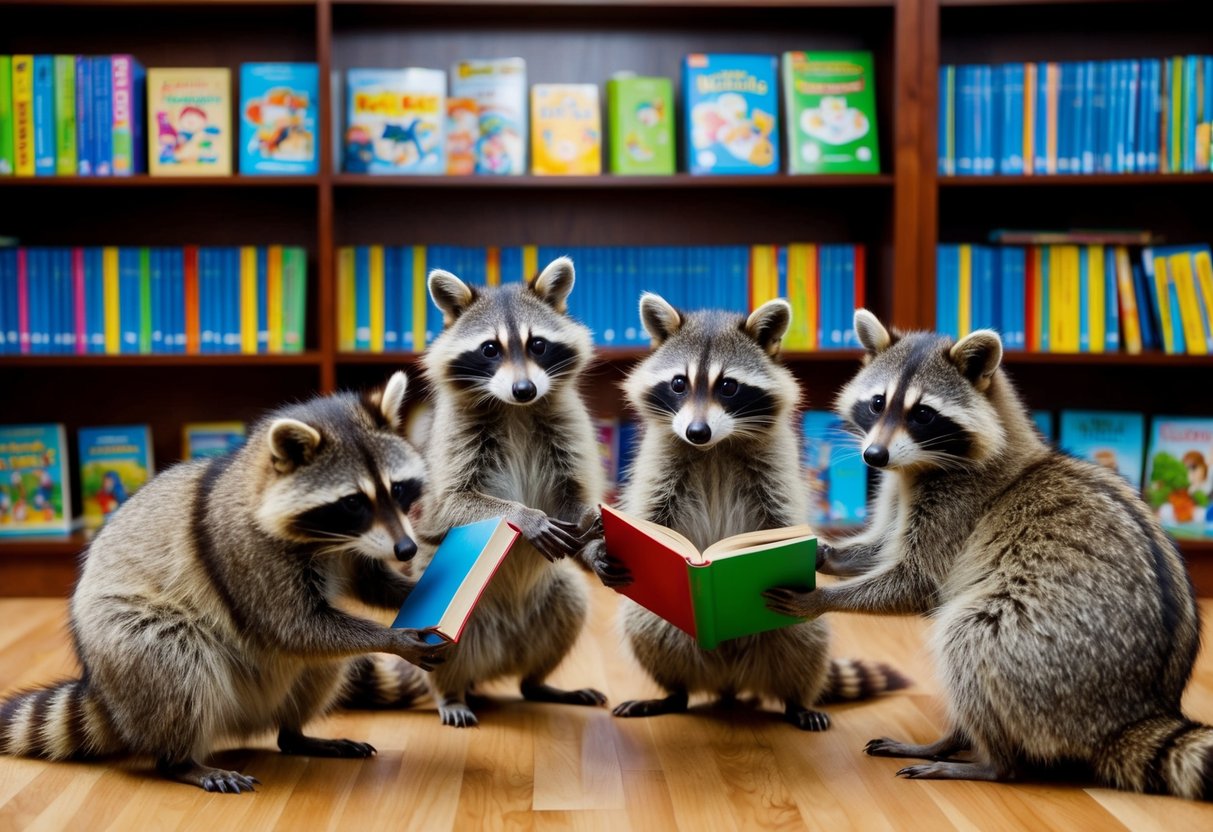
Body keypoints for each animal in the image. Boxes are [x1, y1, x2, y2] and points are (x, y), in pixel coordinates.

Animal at [0, 372, 449, 792]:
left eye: (397, 488)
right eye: (354, 502)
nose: (407, 550)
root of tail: (104, 694)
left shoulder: (354, 546)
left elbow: (365, 584)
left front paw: (415, 588)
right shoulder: (245, 550)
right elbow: (295, 627)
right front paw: (394, 637)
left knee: (320, 668)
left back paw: (296, 733)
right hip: (123, 640)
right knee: (174, 656)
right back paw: (180, 760)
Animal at [418, 256, 606, 728]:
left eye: (537, 345)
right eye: (490, 349)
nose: (525, 389)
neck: (515, 409)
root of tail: (497, 663)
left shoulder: (566, 426)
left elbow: (575, 498)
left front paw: (596, 541)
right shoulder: (454, 437)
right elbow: (452, 504)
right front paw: (523, 515)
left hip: (552, 601)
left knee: (569, 605)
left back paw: (540, 682)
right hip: (447, 618)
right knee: (441, 652)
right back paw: (448, 692)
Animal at [581, 295, 908, 729]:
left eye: (728, 386)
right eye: (679, 383)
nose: (697, 432)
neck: (713, 447)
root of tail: (730, 679)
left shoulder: (774, 470)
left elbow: (783, 522)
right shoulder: (660, 465)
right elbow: (650, 518)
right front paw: (601, 548)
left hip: (788, 630)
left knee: (804, 638)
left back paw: (795, 699)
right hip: (666, 628)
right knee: (647, 625)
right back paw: (672, 693)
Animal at [765, 310, 1213, 799]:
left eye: (923, 414)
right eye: (877, 403)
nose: (874, 456)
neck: (919, 464)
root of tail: (1138, 713)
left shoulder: (958, 506)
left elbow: (917, 582)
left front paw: (820, 598)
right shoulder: (900, 488)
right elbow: (881, 548)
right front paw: (823, 554)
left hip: (1050, 655)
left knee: (969, 635)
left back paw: (988, 760)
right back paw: (954, 739)